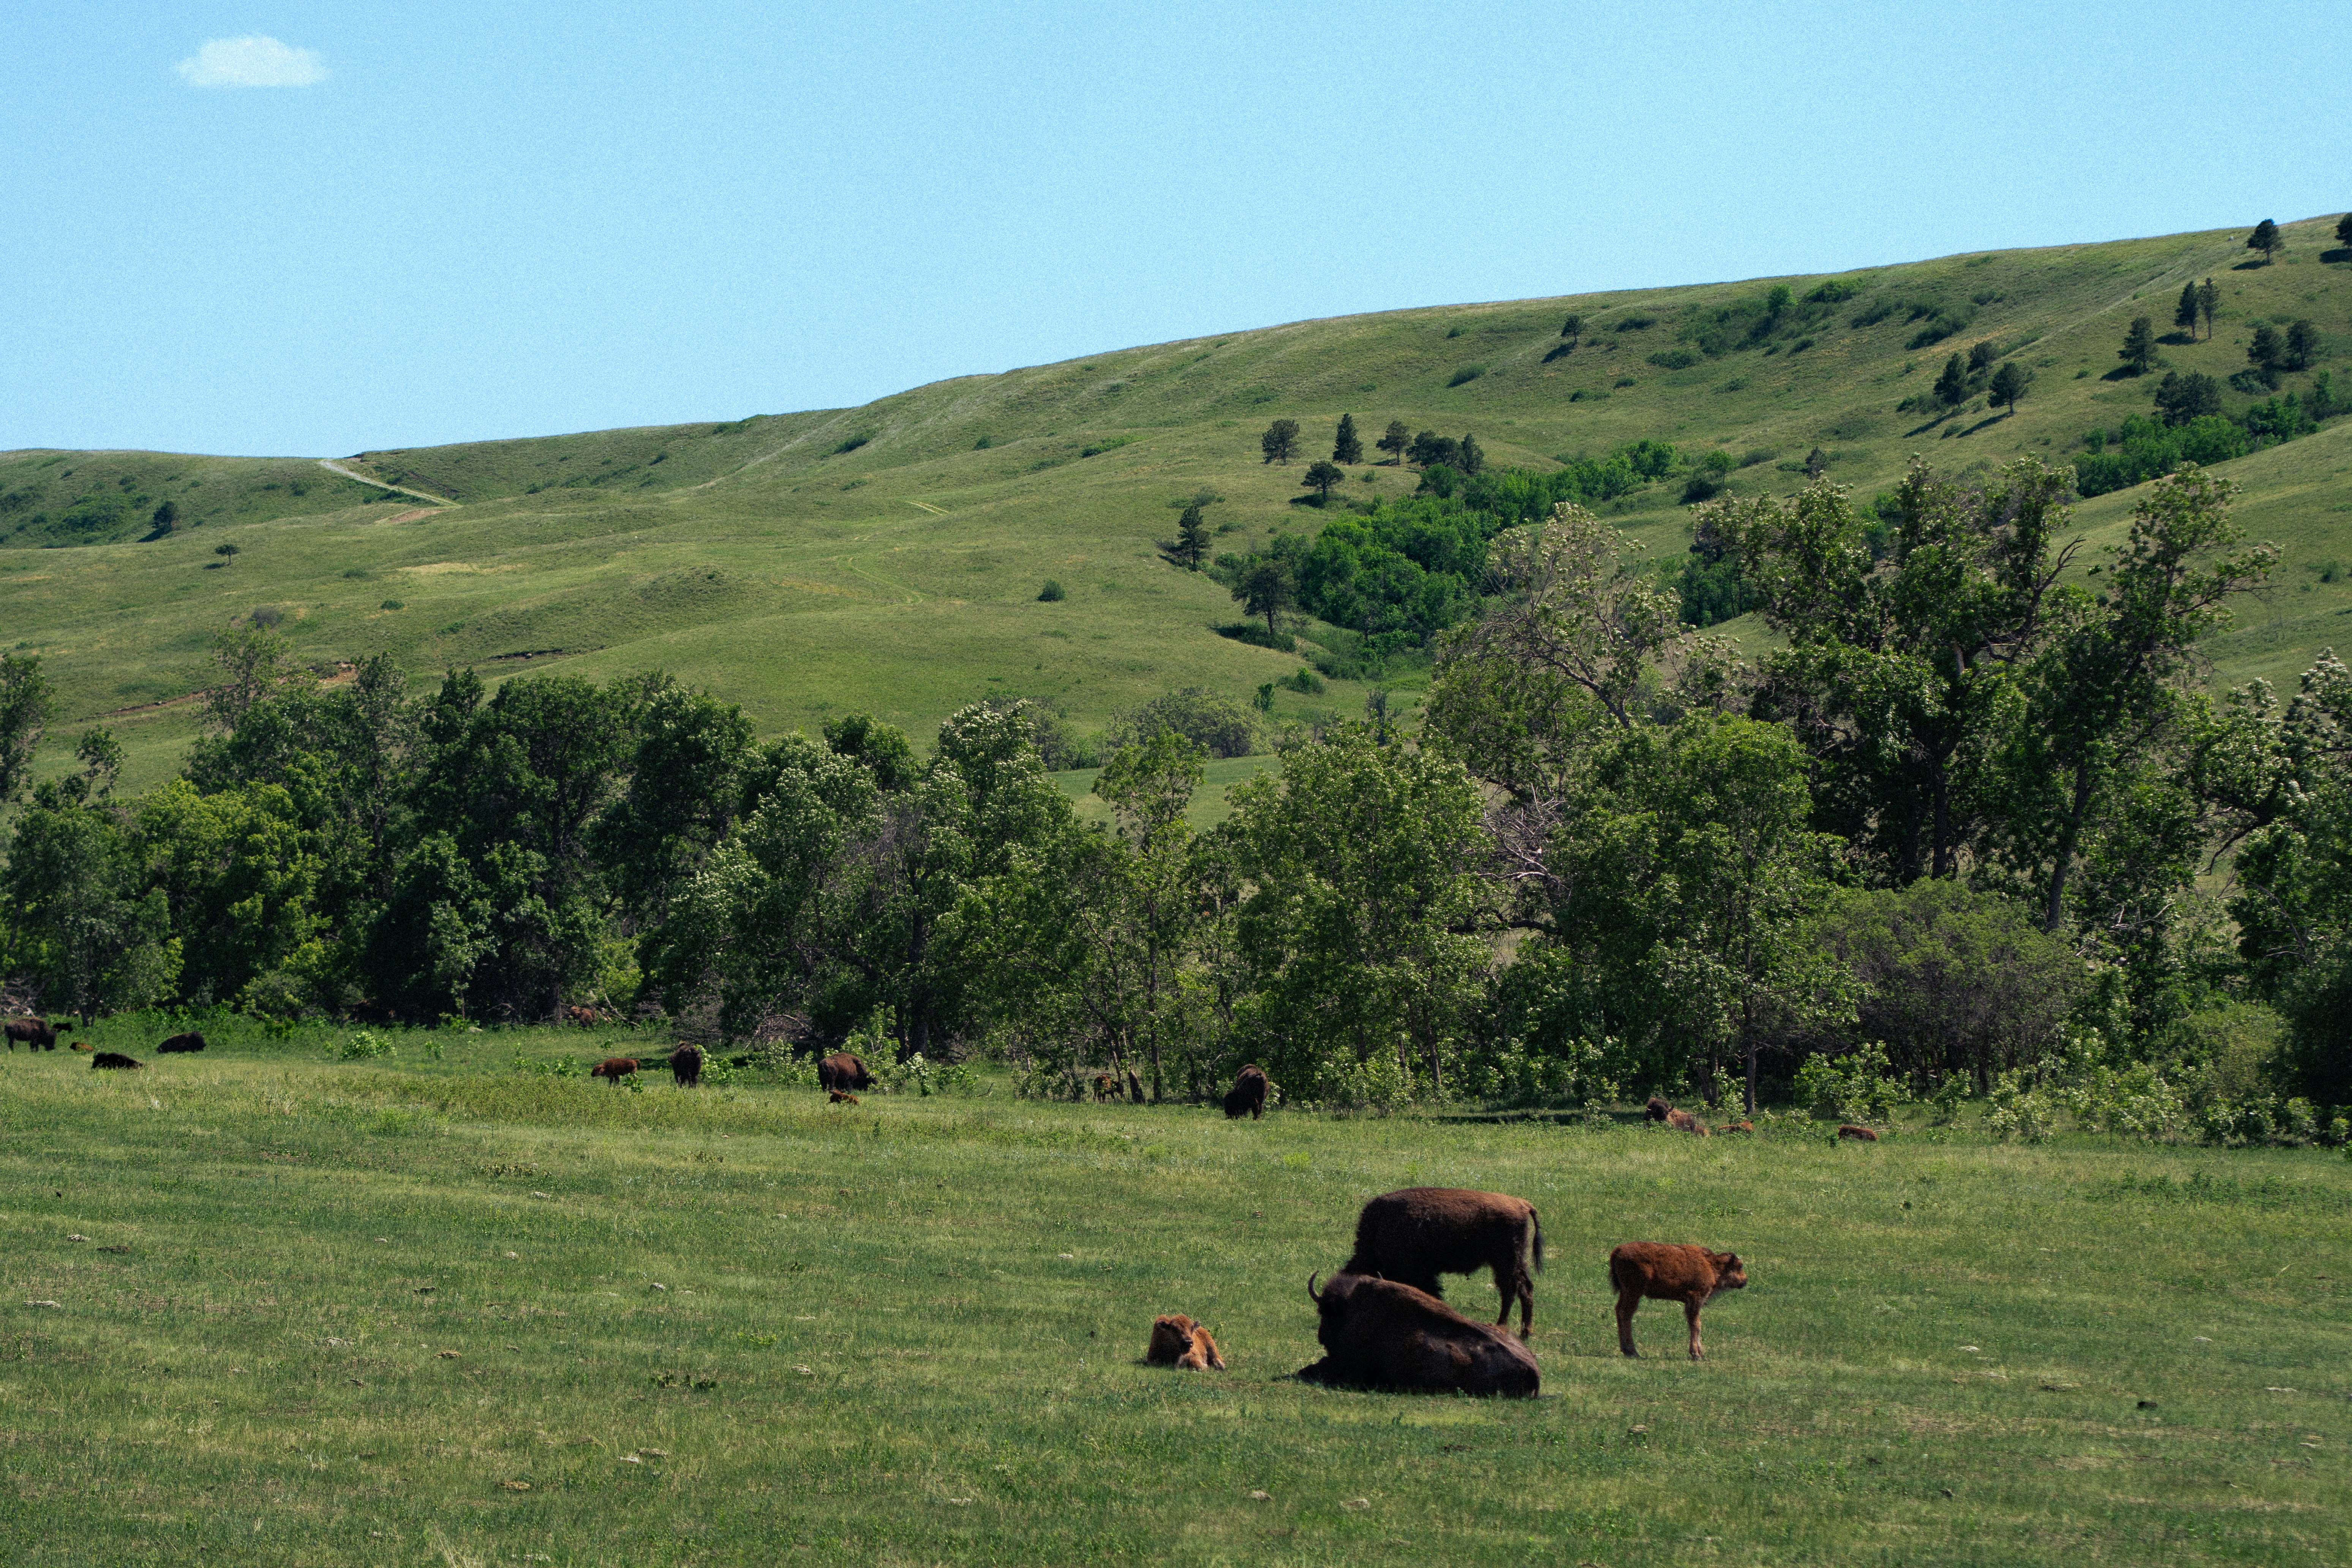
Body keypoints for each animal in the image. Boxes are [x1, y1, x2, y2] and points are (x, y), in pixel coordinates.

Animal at [4, 1018, 57, 1052]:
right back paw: (13, 1052)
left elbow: (34, 1046)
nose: (53, 1048)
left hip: (11, 1038)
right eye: (50, 1039)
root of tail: (7, 1025)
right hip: (12, 1038)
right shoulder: (34, 1040)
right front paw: (35, 1052)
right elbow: (34, 1046)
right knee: (11, 1044)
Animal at [591, 1057, 639, 1083]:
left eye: (595, 1070)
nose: (592, 1074)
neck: (605, 1067)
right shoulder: (613, 1076)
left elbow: (616, 1082)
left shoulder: (615, 1075)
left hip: (632, 1074)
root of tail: (634, 1061)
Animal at [819, 1052, 875, 1094]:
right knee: (830, 1087)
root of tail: (823, 1063)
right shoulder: (849, 1080)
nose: (866, 1090)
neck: (855, 1066)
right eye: (865, 1081)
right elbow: (849, 1088)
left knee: (824, 1088)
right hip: (832, 1080)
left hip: (822, 1080)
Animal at [1343, 1187, 1543, 1337]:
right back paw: (1525, 1332)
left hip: (1505, 1261)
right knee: (1525, 1288)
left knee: (1510, 1290)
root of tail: (1522, 1204)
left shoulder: (1420, 1273)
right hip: (1516, 1261)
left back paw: (1501, 1326)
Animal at [1608, 1241, 1749, 1362]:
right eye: (1739, 1266)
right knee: (1626, 1314)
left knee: (1621, 1312)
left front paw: (1700, 1354)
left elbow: (1696, 1324)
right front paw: (1697, 1355)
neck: (1711, 1264)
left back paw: (1628, 1350)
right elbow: (1696, 1325)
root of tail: (1618, 1250)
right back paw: (1633, 1352)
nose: (1745, 1280)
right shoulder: (1695, 1299)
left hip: (1627, 1293)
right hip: (1634, 1293)